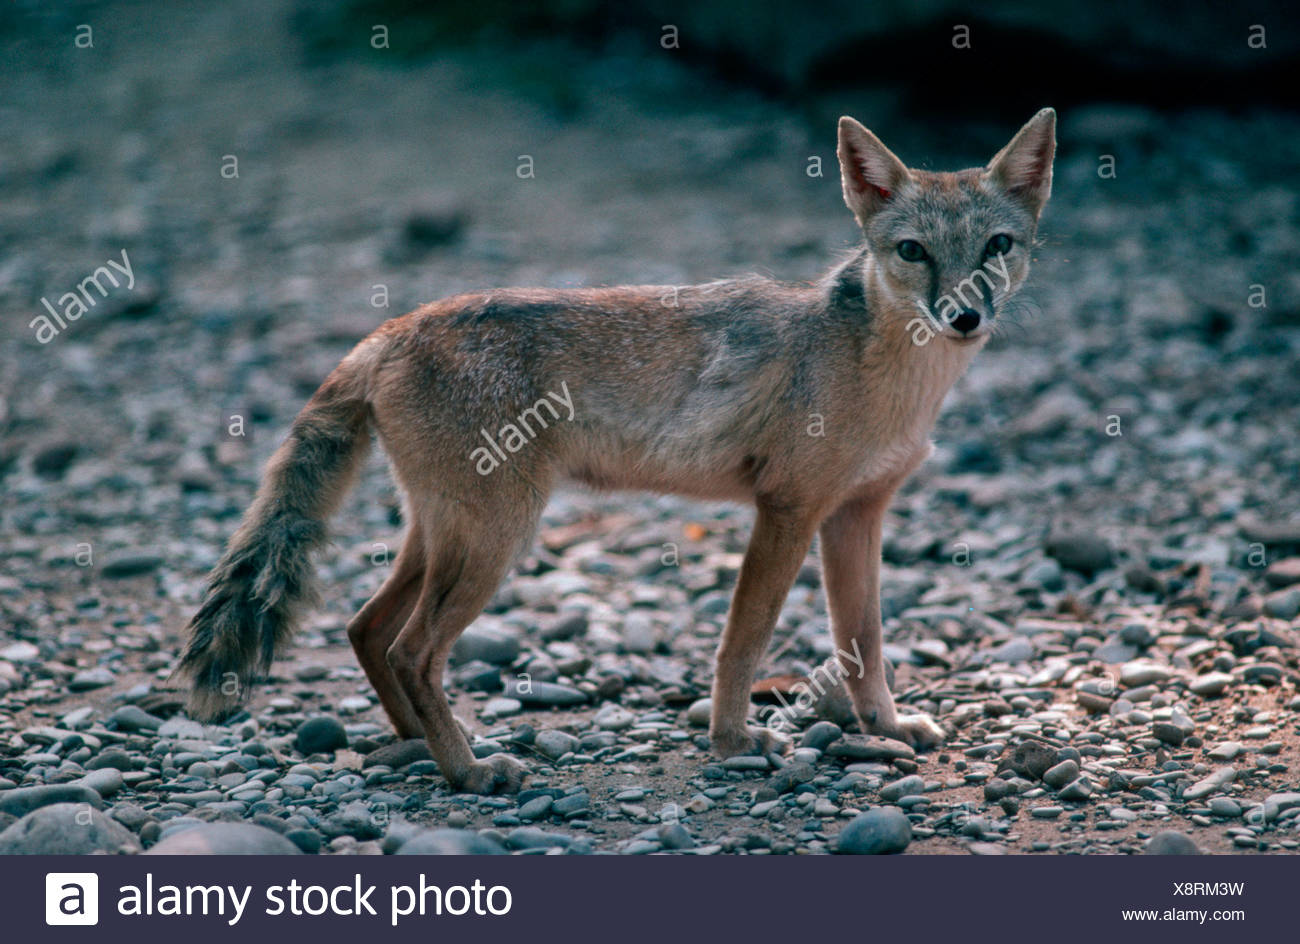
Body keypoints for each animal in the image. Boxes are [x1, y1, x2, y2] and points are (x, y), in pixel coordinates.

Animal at [178, 108, 1056, 794]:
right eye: (913, 251)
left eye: (996, 246)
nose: (963, 317)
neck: (883, 372)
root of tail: (392, 330)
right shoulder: (787, 510)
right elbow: (744, 642)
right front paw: (734, 743)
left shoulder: (855, 515)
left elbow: (863, 639)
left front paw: (885, 727)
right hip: (494, 541)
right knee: (411, 650)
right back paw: (468, 771)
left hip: (442, 538)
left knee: (367, 631)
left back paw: (417, 748)